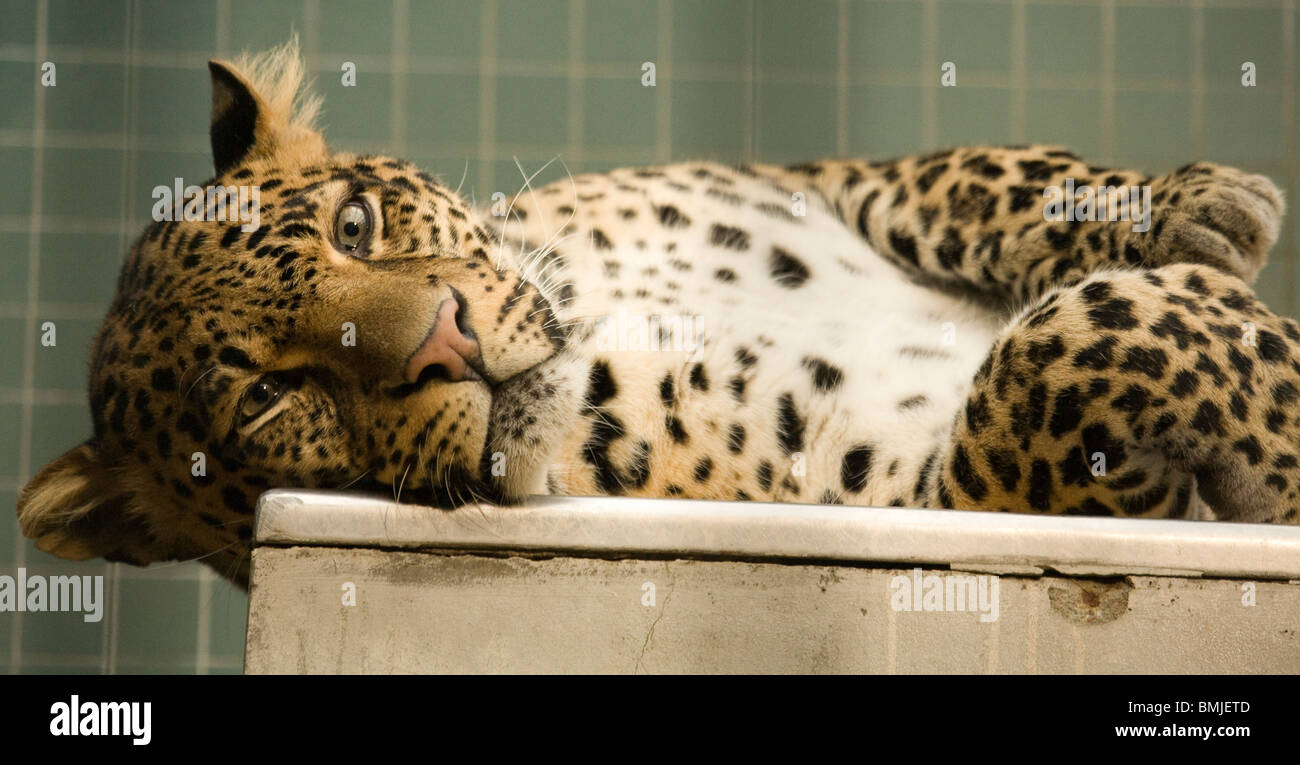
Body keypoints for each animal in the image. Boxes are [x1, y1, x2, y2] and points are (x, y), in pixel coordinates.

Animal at [16, 41, 1294, 589]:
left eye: (355, 226)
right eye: (269, 400)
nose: (446, 339)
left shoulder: (820, 177)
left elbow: (964, 170)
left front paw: (1191, 213)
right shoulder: (933, 502)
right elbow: (1058, 350)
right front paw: (1253, 392)